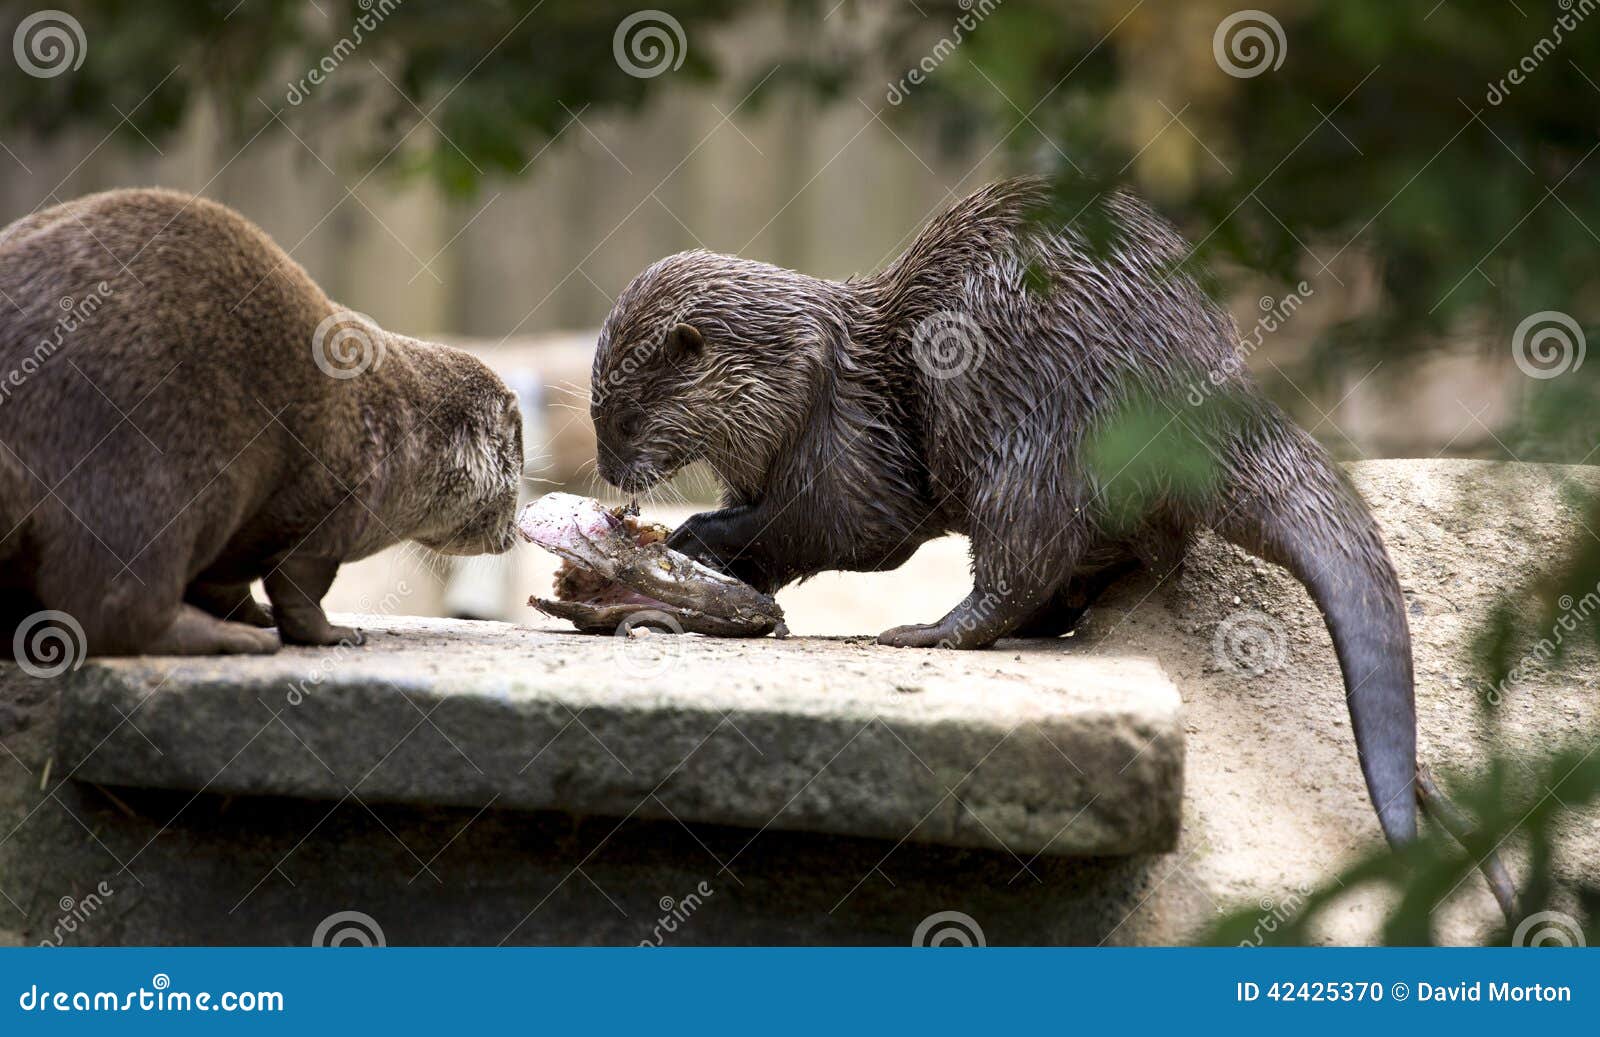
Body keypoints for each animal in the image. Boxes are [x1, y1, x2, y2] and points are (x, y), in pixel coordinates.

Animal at [0, 189, 521, 656]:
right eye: (515, 475)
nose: (514, 531)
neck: (402, 433)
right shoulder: (325, 516)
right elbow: (298, 590)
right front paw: (333, 633)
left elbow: (226, 586)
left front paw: (258, 615)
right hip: (148, 476)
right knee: (115, 608)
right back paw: (237, 641)